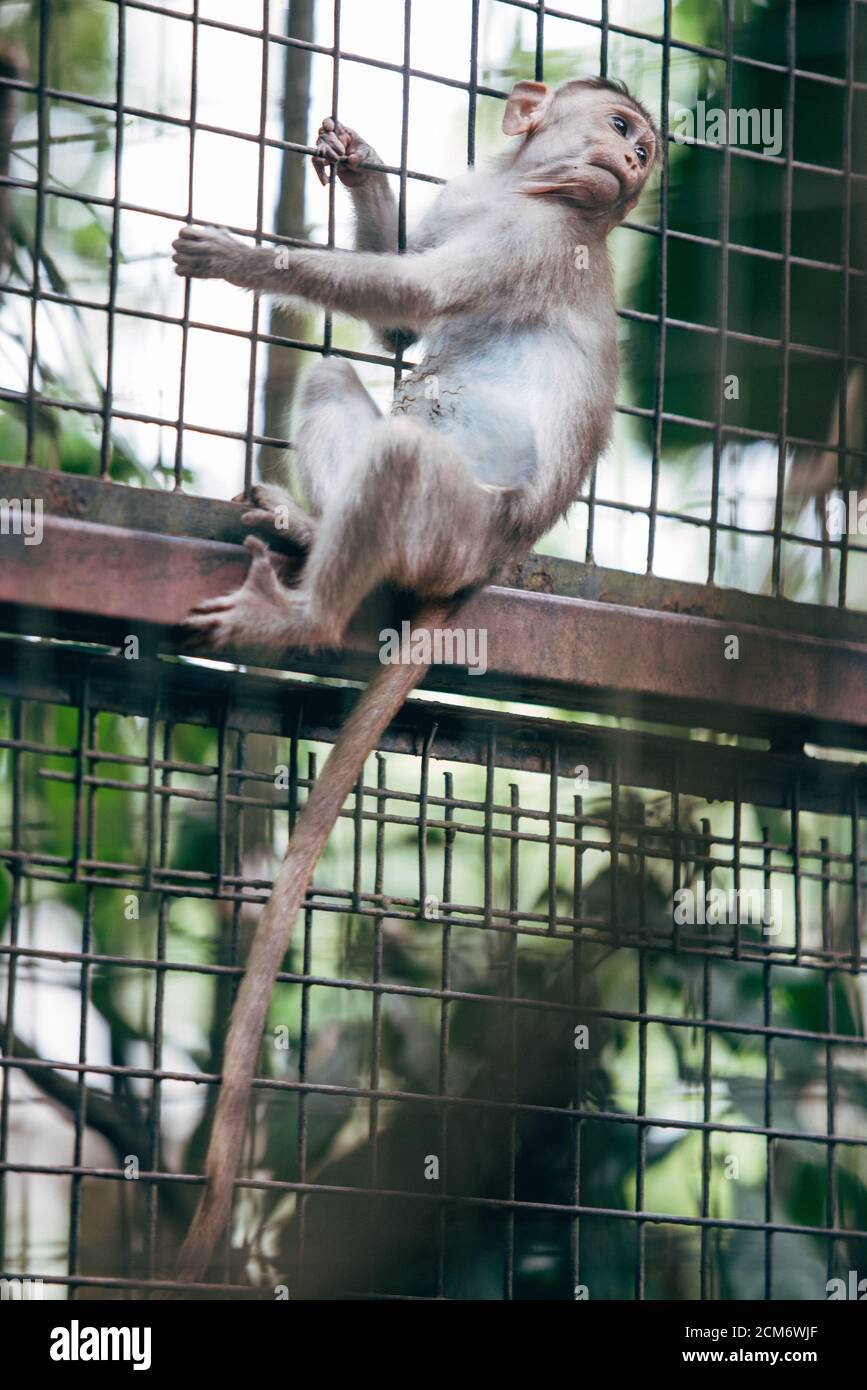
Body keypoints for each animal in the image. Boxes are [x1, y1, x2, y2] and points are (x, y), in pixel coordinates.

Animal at [168, 76, 659, 1289]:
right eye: (622, 131)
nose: (636, 163)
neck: (531, 189)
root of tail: (492, 562)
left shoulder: (534, 242)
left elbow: (414, 297)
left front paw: (245, 259)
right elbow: (395, 322)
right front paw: (358, 164)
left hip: (446, 524)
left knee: (399, 459)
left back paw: (304, 612)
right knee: (348, 384)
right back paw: (307, 531)